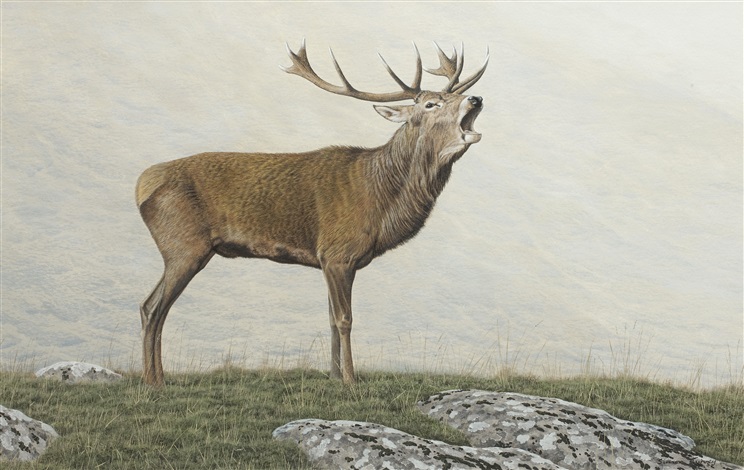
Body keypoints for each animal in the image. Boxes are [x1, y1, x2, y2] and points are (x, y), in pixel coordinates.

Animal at [136, 40, 488, 386]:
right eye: (430, 104)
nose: (476, 98)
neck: (379, 199)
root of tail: (140, 184)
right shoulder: (337, 252)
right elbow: (345, 319)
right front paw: (350, 380)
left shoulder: (330, 260)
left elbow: (330, 318)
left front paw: (333, 375)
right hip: (183, 245)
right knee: (152, 307)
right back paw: (153, 381)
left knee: (152, 307)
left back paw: (157, 377)